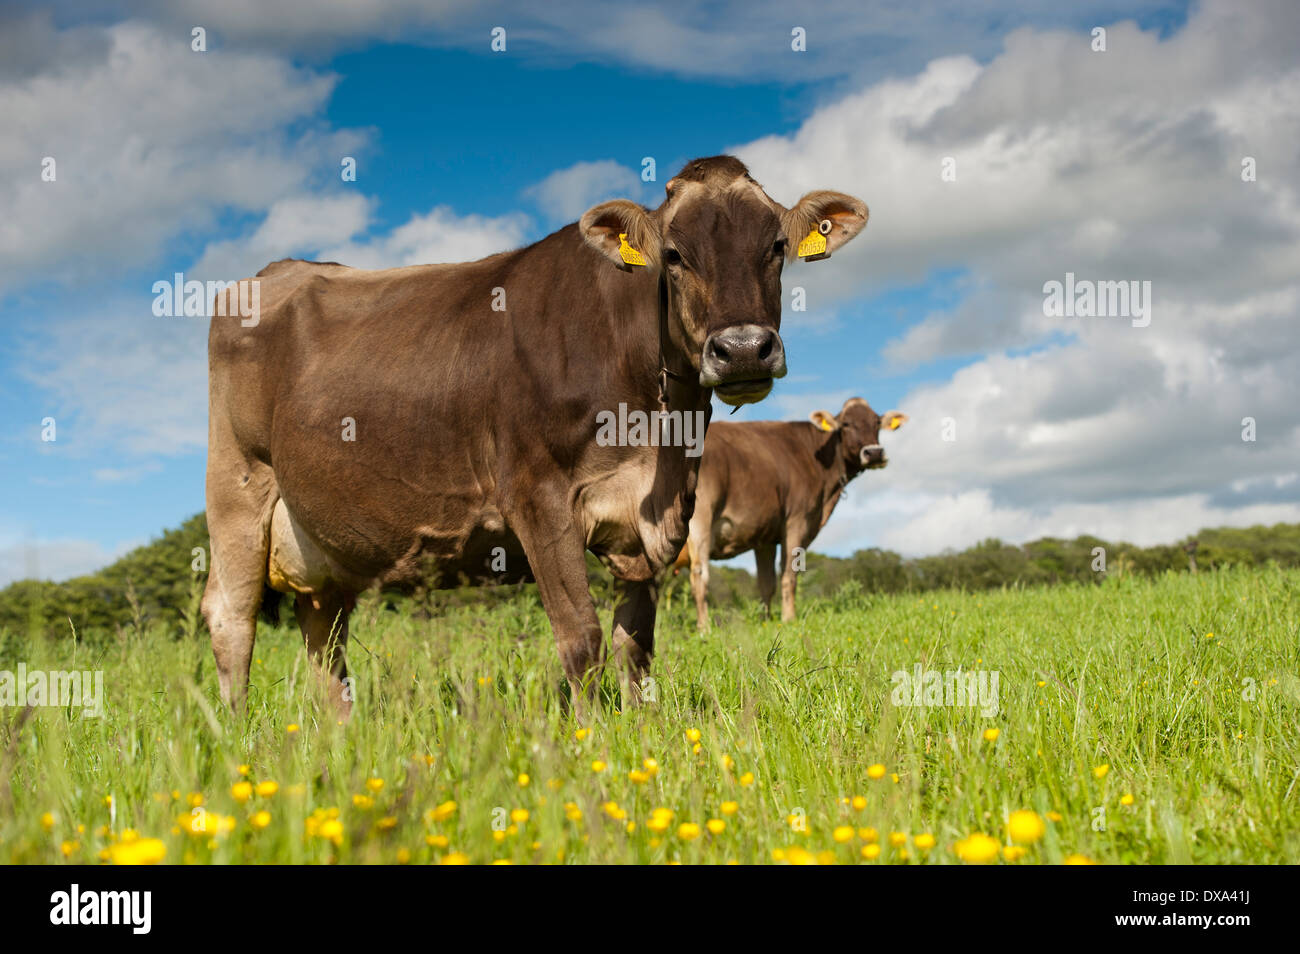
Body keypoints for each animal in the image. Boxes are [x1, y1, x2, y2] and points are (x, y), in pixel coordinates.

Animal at [203, 155, 869, 718]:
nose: (743, 349)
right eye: (674, 255)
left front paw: (641, 731)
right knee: (231, 615)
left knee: (324, 635)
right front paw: (592, 739)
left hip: (327, 536)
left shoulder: (653, 520)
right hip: (237, 486)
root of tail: (276, 272)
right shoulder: (537, 497)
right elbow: (581, 636)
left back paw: (338, 736)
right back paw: (238, 737)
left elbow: (637, 645)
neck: (657, 442)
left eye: (777, 246)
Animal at [674, 397, 906, 630]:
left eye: (877, 422)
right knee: (699, 574)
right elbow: (789, 574)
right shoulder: (797, 520)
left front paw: (765, 620)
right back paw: (704, 628)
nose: (874, 453)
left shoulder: (763, 536)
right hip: (701, 520)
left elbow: (766, 582)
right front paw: (789, 618)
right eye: (846, 424)